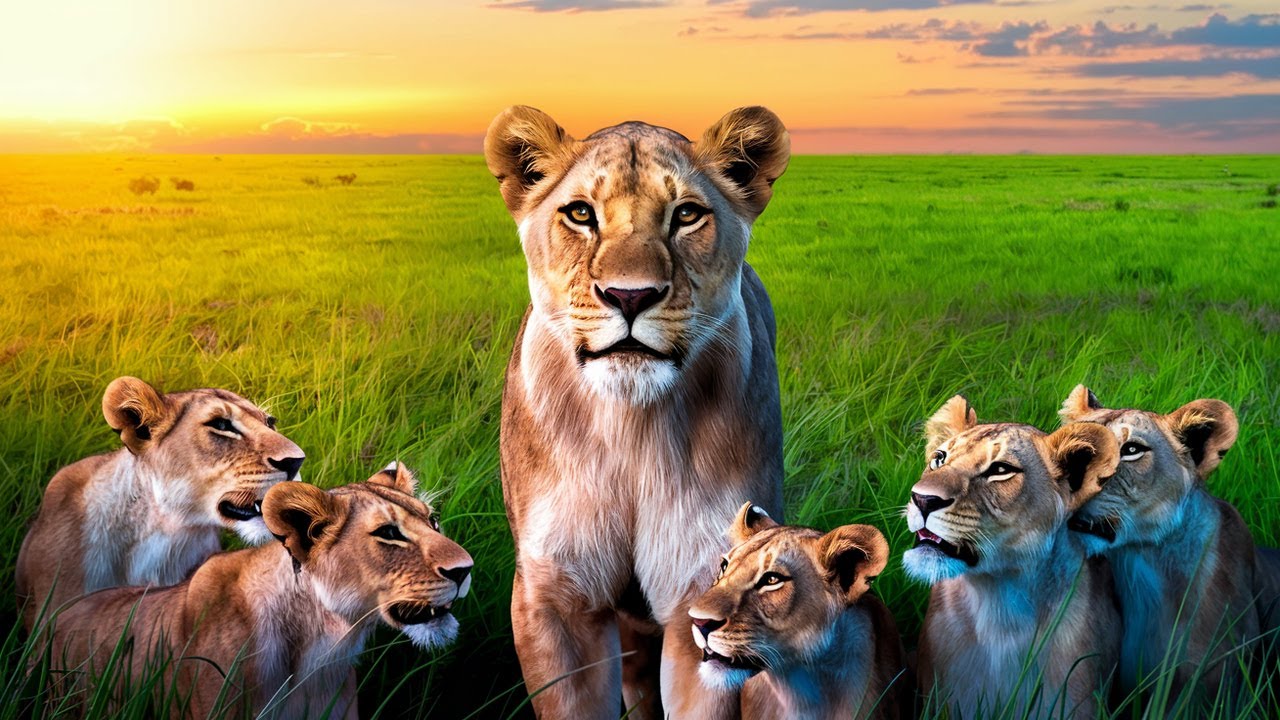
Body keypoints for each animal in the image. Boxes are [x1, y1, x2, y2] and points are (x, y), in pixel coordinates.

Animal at [485, 105, 790, 719]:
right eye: (581, 213)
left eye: (687, 215)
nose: (630, 296)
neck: (631, 429)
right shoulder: (554, 596)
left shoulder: (706, 584)